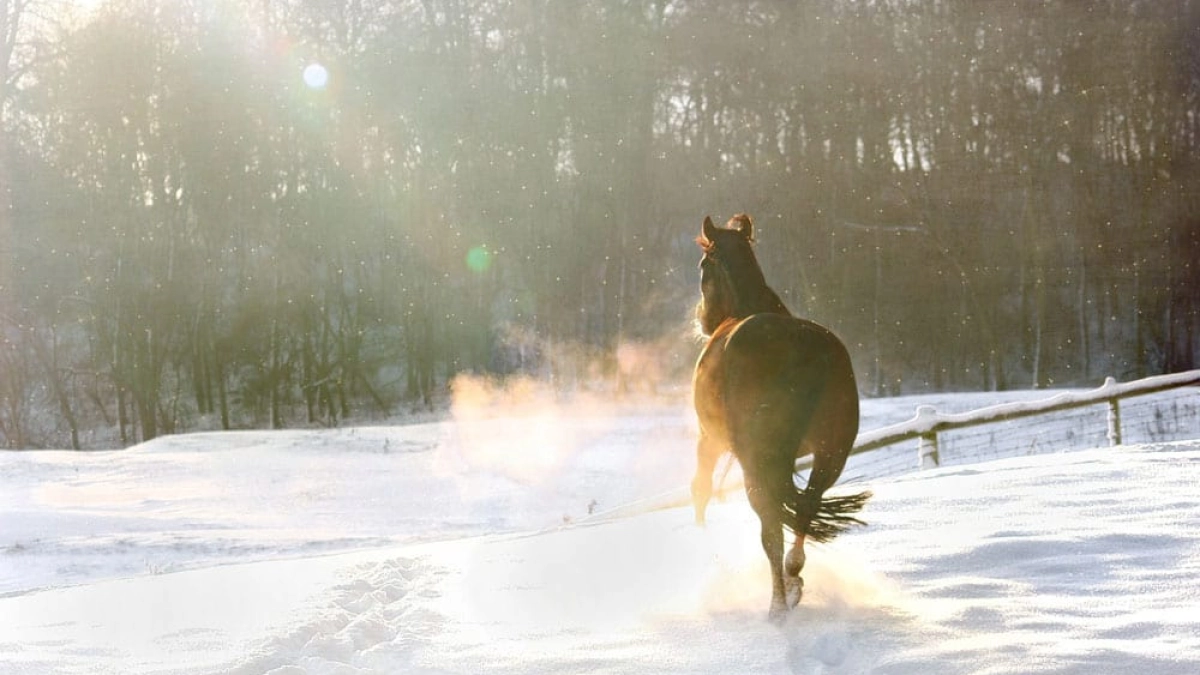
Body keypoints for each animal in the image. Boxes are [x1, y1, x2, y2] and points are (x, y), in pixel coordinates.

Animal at [691, 213, 870, 623]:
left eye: (703, 265)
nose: (702, 321)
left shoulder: (709, 440)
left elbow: (700, 490)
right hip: (831, 453)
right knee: (806, 506)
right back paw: (794, 576)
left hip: (756, 460)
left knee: (771, 527)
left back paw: (777, 606)